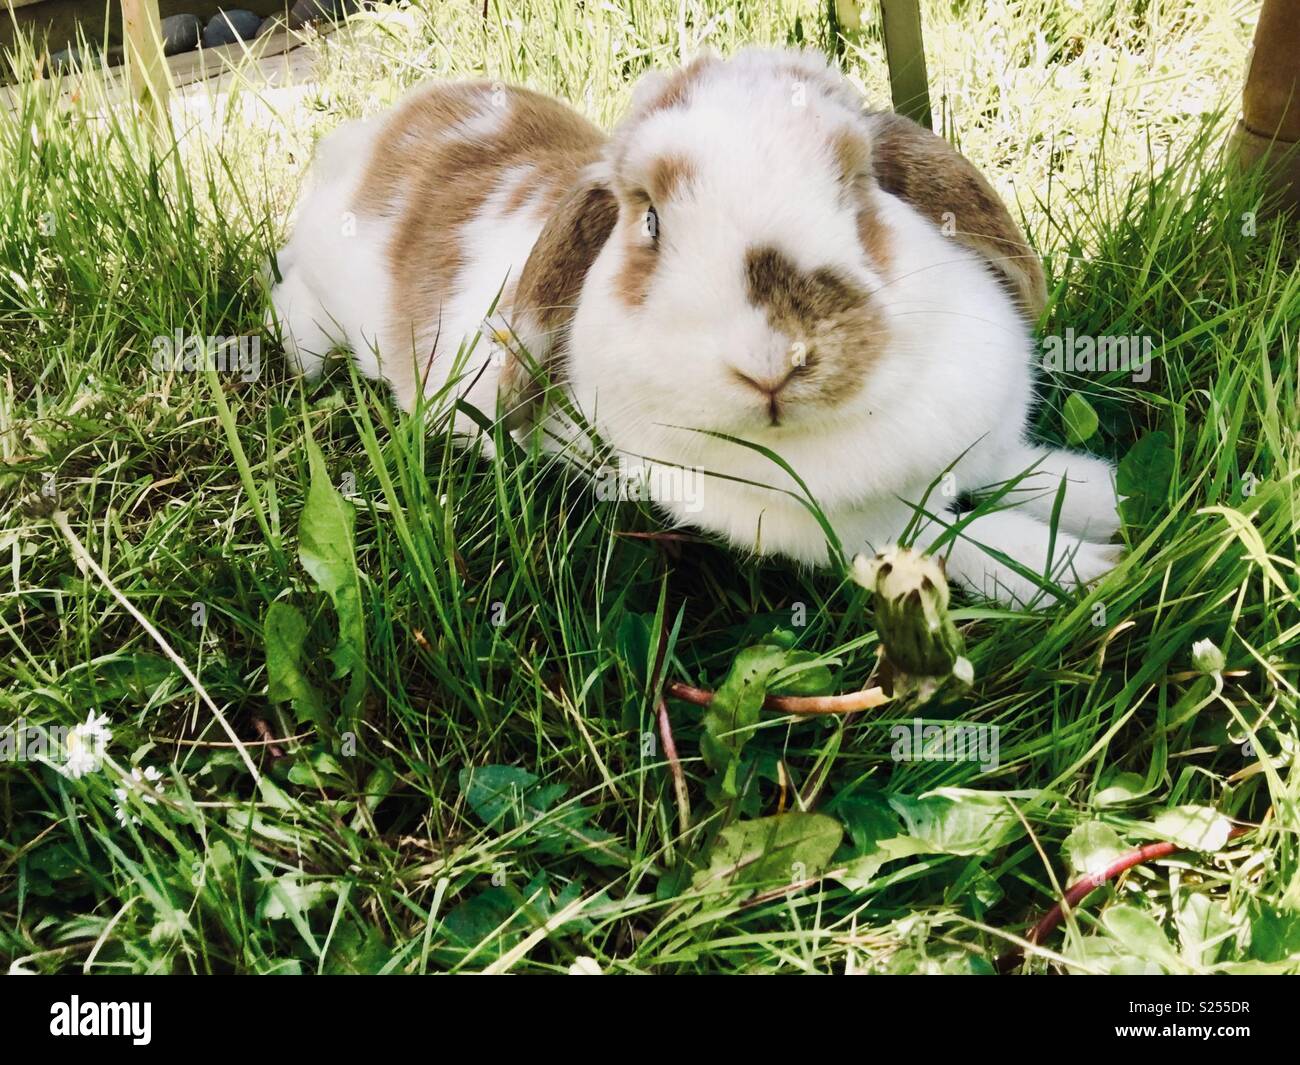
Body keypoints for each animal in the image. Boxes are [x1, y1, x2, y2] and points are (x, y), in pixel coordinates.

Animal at [268, 47, 1122, 607]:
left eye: (856, 189)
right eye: (649, 220)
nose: (772, 359)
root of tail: (370, 139)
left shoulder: (980, 453)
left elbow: (1040, 476)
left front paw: (1117, 503)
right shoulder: (859, 531)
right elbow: (965, 543)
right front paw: (1090, 572)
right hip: (323, 289)